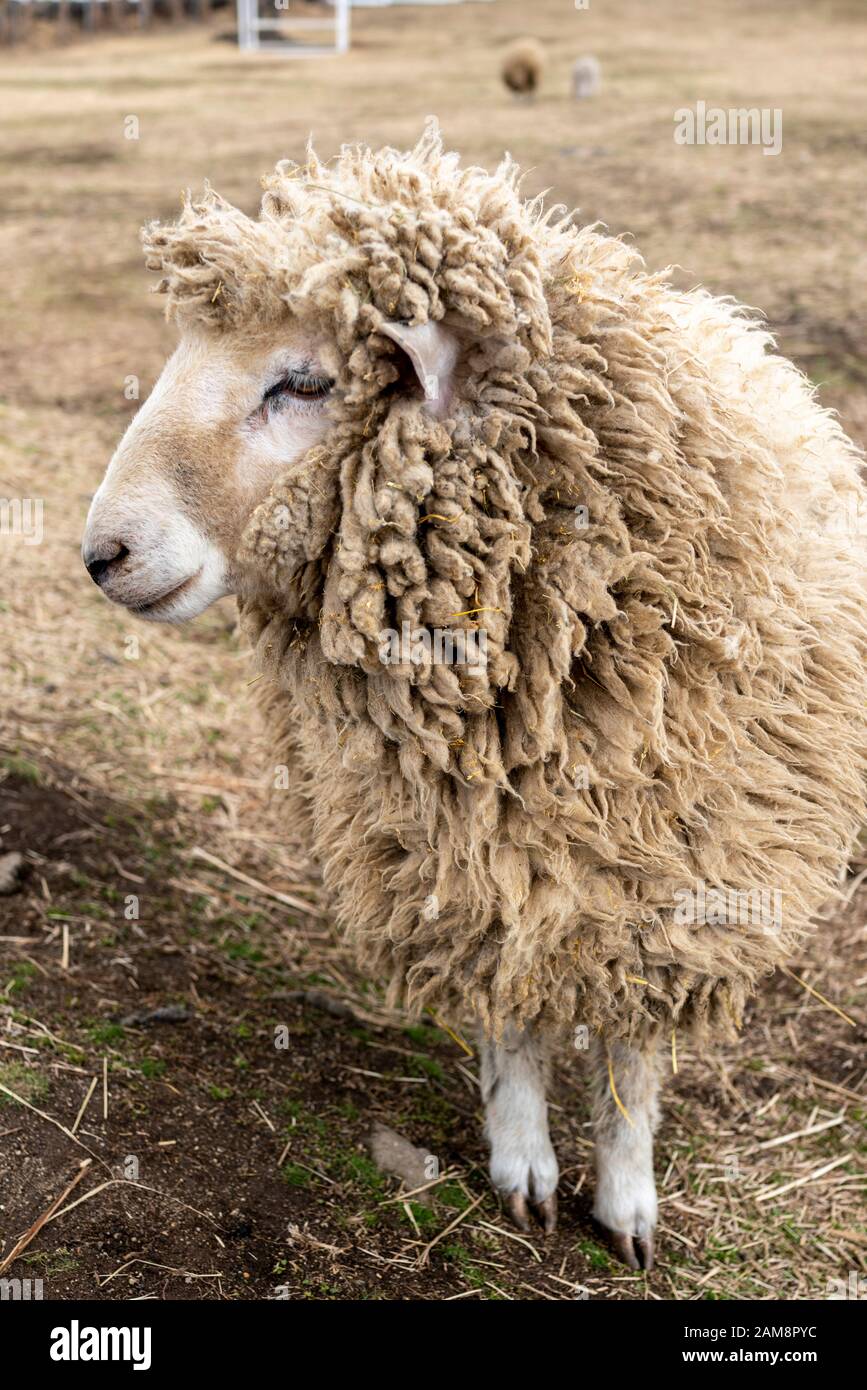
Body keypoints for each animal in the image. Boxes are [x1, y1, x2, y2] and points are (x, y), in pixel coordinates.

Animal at [82, 122, 867, 1269]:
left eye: (303, 382)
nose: (103, 555)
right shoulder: (459, 850)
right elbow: (507, 1016)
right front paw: (524, 1167)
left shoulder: (689, 870)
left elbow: (632, 1052)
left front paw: (627, 1201)